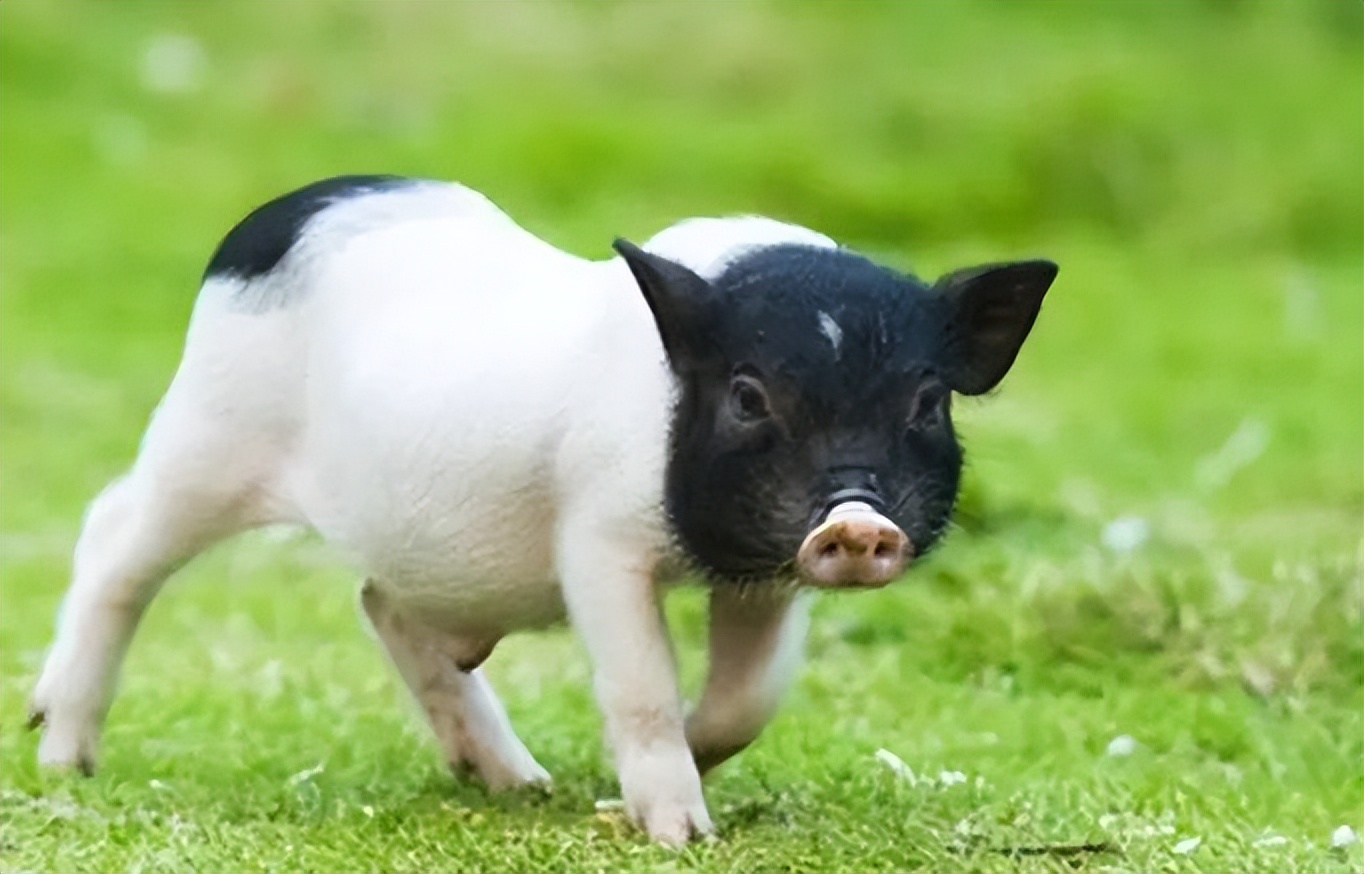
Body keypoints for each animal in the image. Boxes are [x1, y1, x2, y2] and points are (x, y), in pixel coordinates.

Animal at [28, 175, 1057, 844]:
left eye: (926, 400)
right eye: (749, 396)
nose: (855, 522)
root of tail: (281, 213)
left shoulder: (762, 573)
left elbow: (748, 696)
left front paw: (634, 785)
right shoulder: (597, 537)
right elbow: (640, 680)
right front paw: (678, 835)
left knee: (382, 603)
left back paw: (519, 783)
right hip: (207, 433)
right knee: (115, 536)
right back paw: (61, 755)